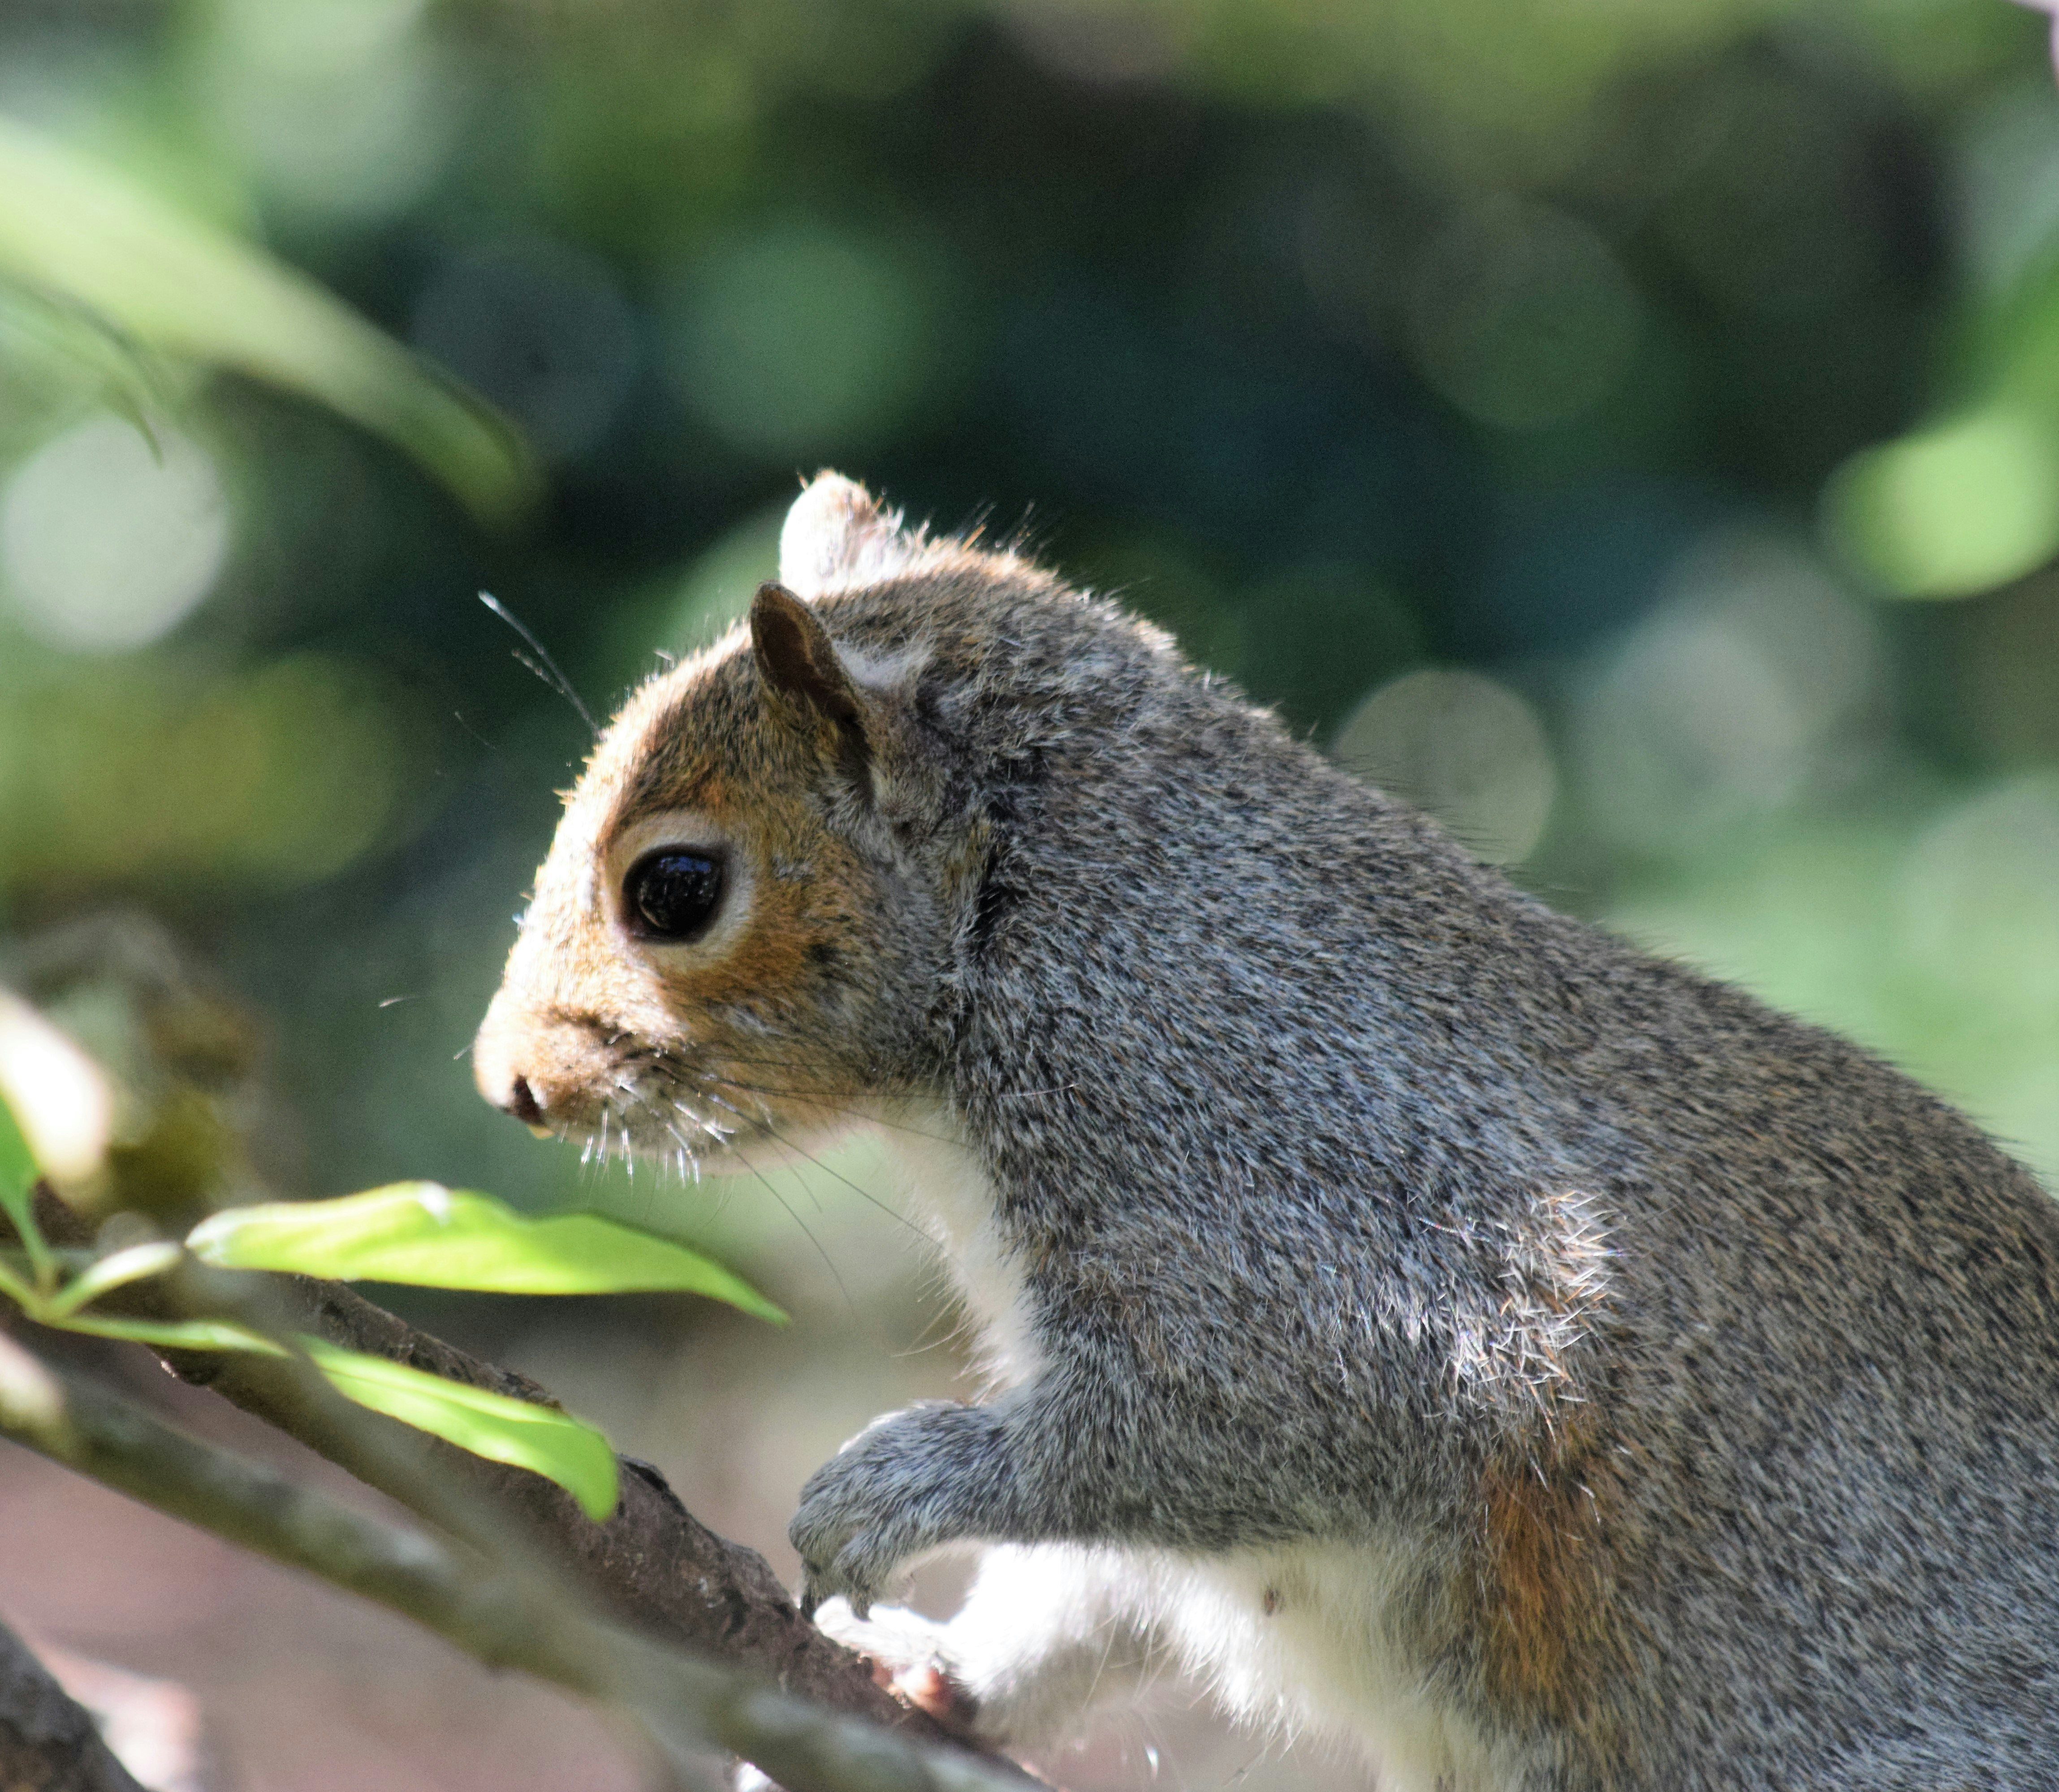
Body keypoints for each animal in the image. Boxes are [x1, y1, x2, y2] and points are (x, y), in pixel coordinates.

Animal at [472, 473, 2059, 1790]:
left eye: (675, 887)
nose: (503, 1084)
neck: (1029, 918)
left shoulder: (1274, 1147)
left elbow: (1249, 1419)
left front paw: (889, 1490)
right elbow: (1103, 1584)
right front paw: (938, 1674)